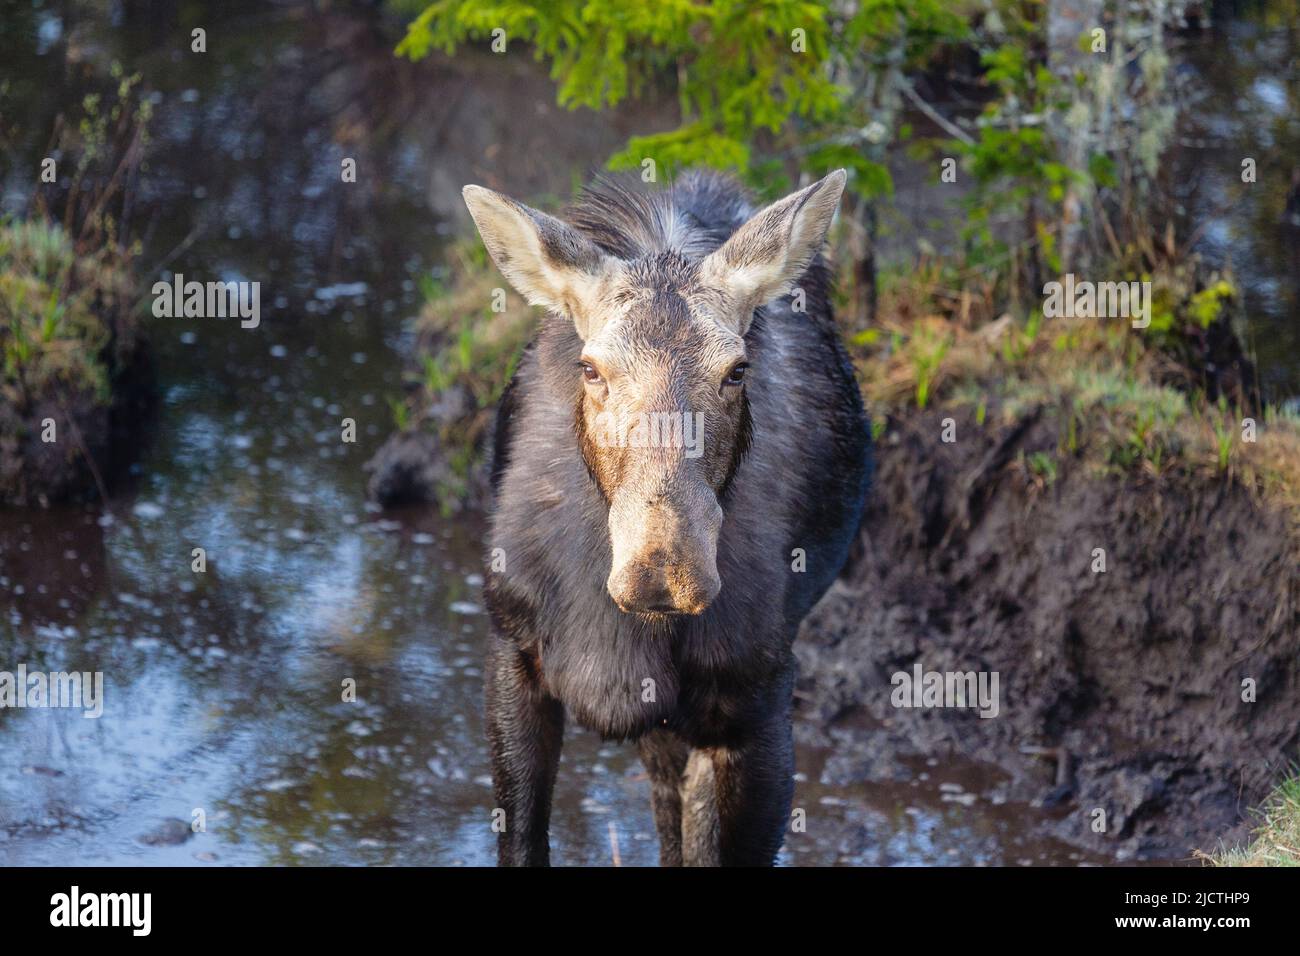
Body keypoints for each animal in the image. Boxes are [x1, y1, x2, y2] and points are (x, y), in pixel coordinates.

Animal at [462, 167, 872, 866]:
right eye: (591, 368)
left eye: (737, 370)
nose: (663, 571)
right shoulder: (513, 653)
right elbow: (521, 841)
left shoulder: (757, 697)